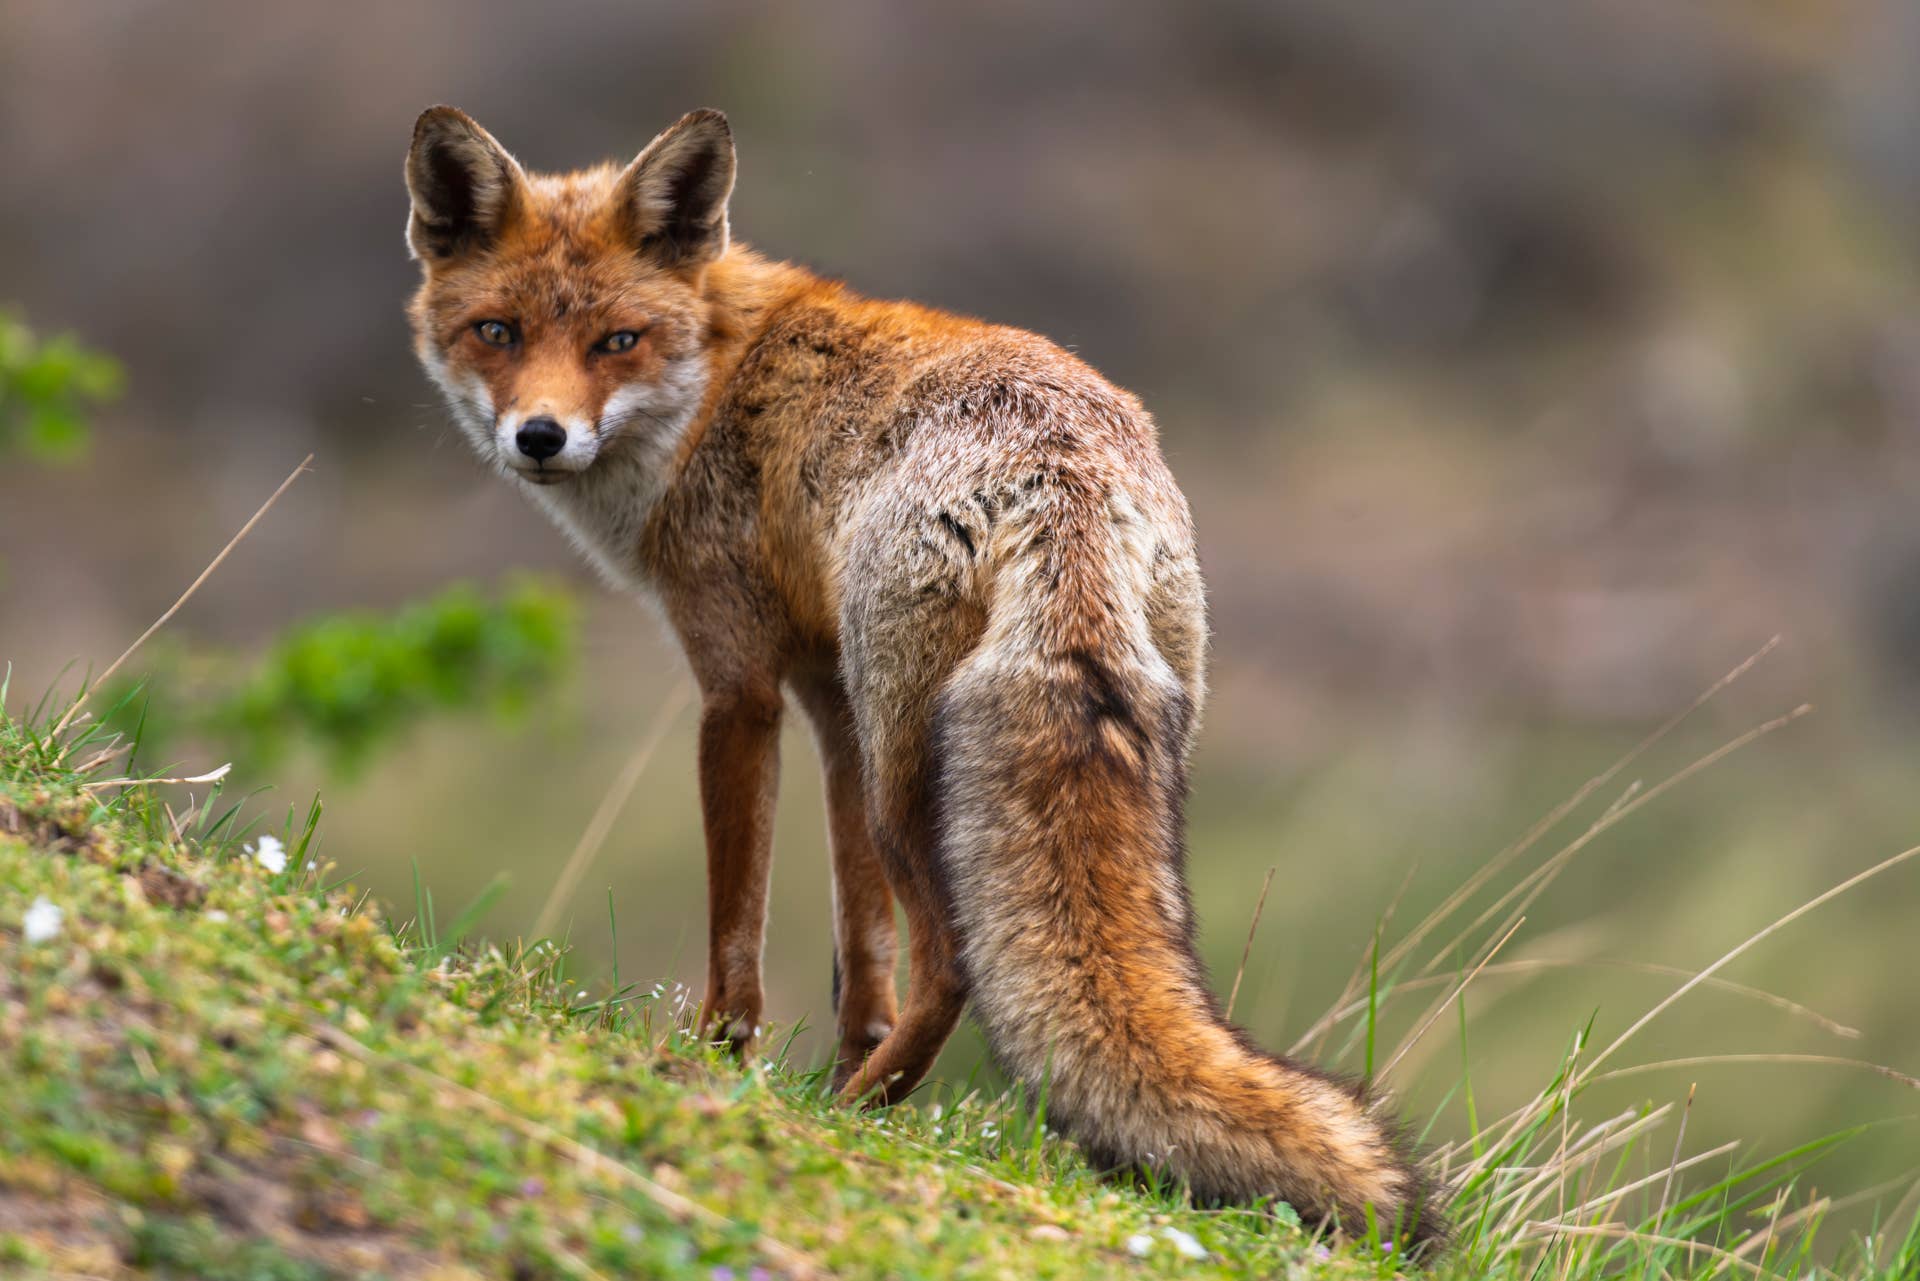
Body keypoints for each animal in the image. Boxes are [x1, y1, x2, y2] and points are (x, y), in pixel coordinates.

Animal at [404, 105, 1440, 1245]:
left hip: (912, 777)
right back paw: (861, 1097)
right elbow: (861, 942)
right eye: (497, 332)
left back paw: (851, 1117)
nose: (540, 437)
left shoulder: (738, 687)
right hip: (967, 733)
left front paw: (723, 1062)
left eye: (616, 342)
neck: (714, 384)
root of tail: (1066, 475)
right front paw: (841, 1052)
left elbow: (739, 924)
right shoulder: (830, 696)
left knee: (953, 961)